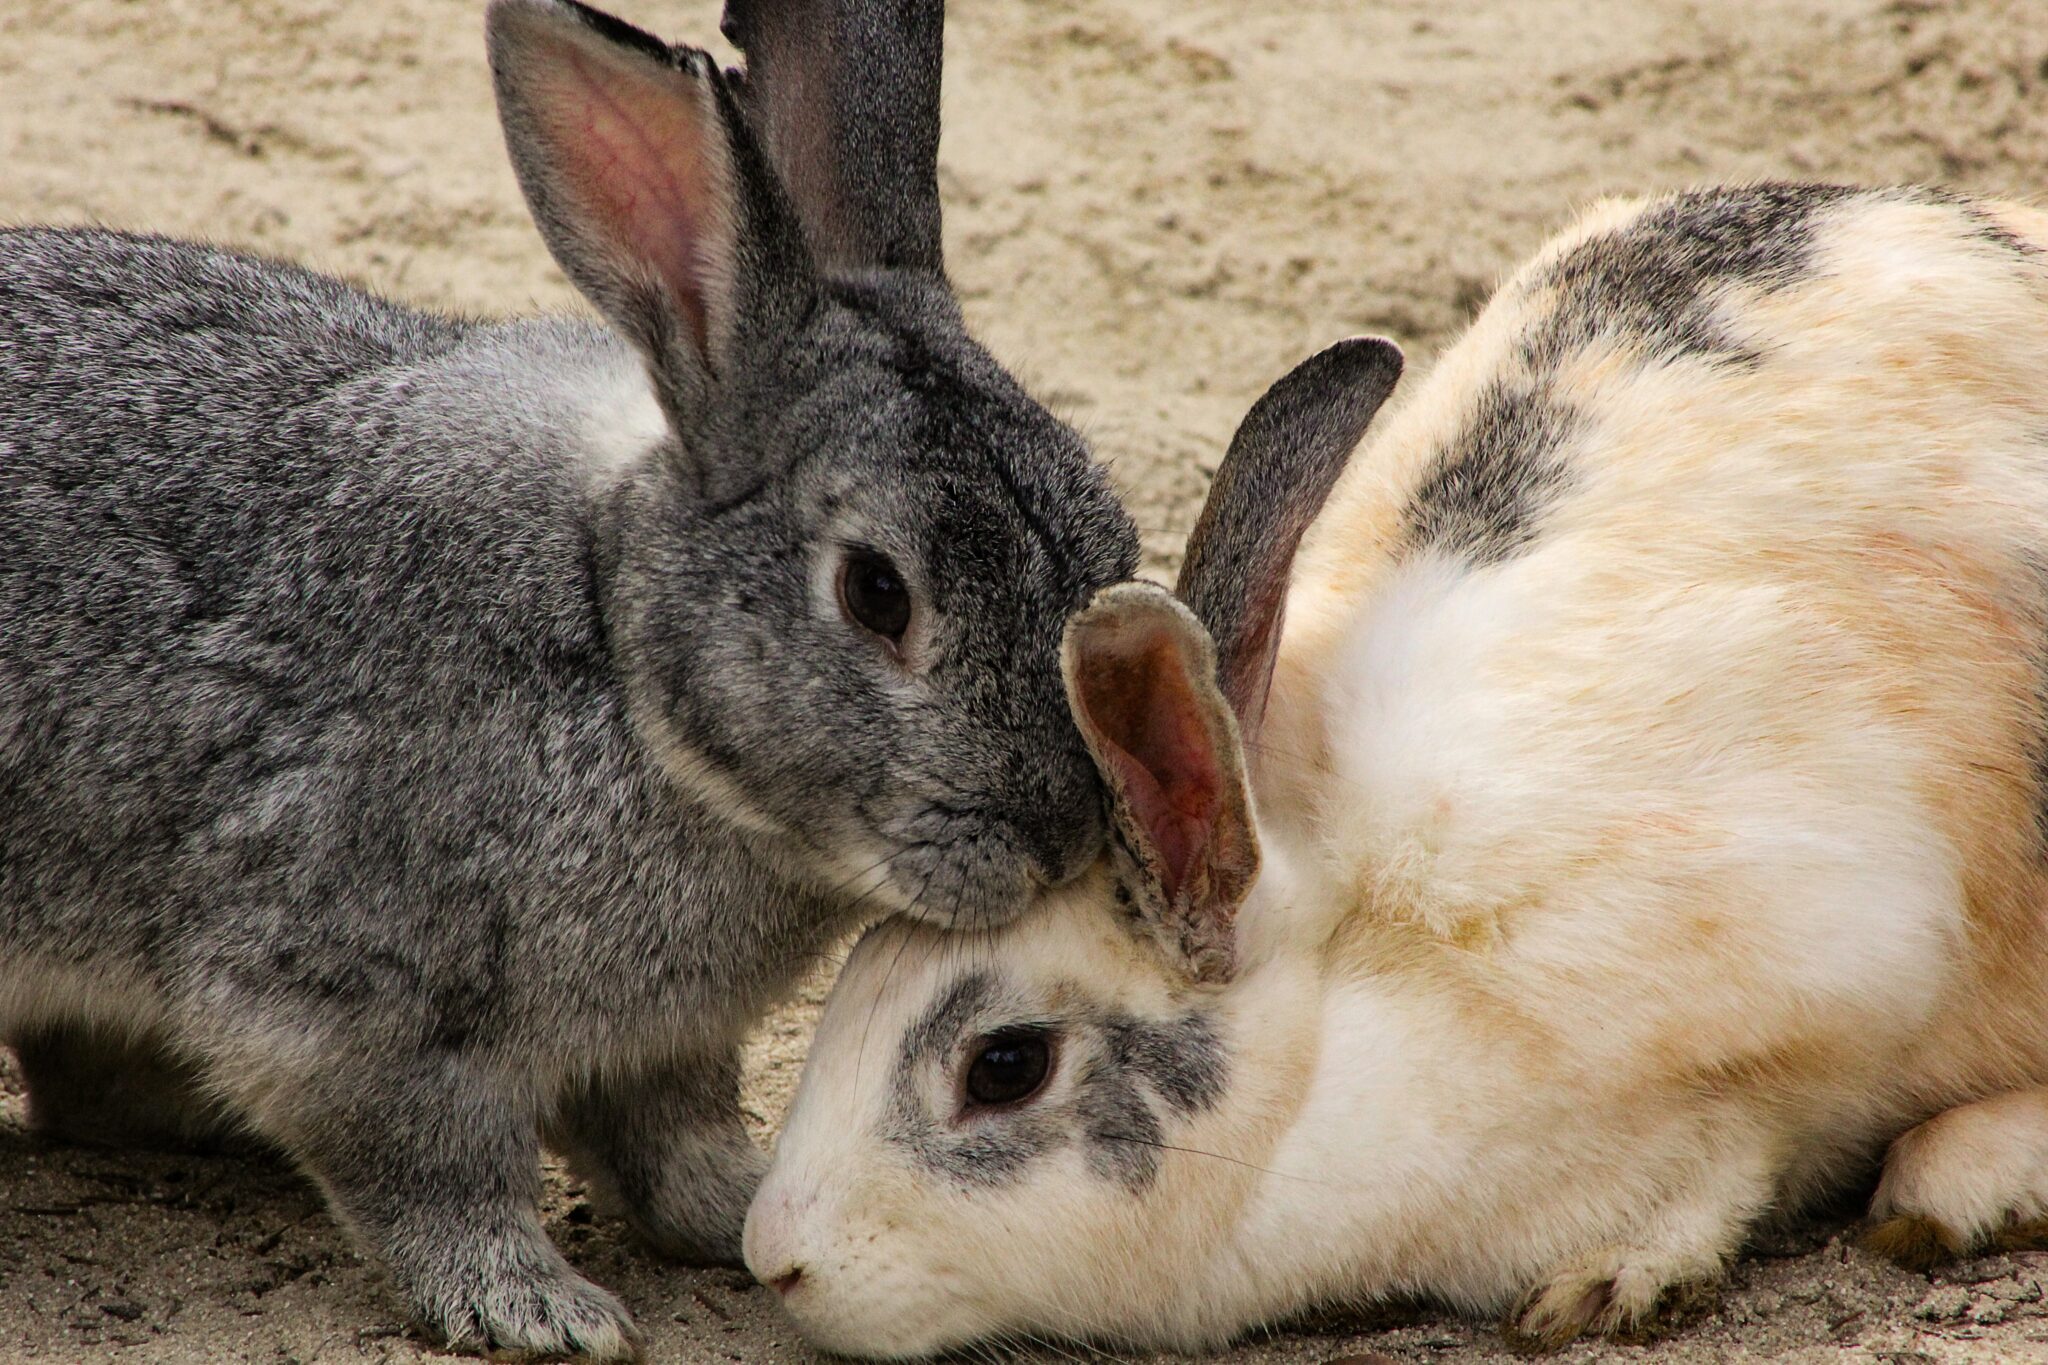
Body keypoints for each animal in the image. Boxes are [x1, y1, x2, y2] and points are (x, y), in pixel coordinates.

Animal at [0, 0, 1138, 1357]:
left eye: (1112, 544)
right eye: (877, 593)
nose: (1061, 836)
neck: (618, 653)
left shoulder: (661, 1048)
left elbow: (669, 1145)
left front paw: (740, 1214)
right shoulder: (349, 999)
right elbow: (431, 1170)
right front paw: (536, 1306)